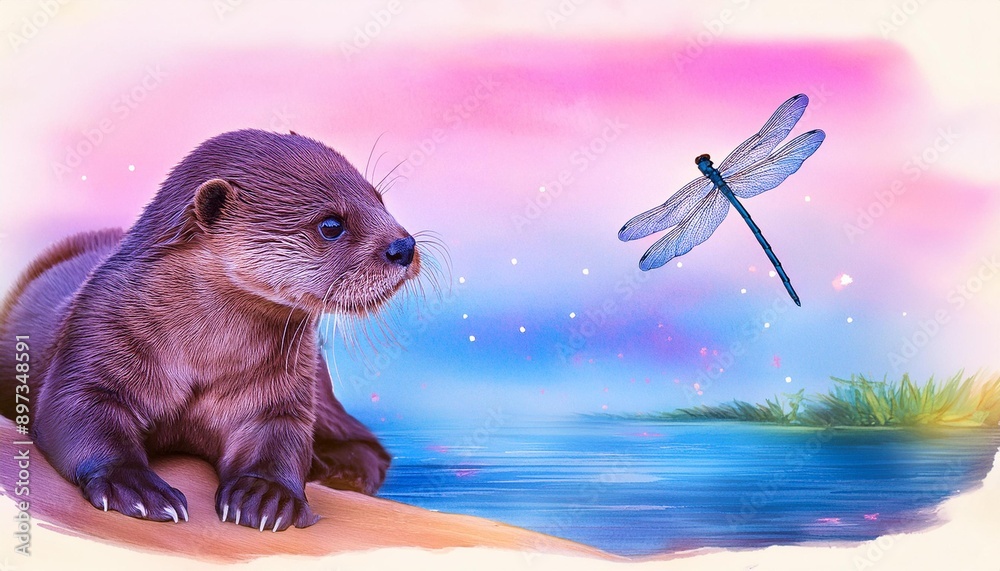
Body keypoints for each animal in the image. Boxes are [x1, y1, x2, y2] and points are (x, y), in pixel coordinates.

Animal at [0, 130, 419, 531]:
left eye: (379, 199)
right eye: (331, 225)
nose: (404, 245)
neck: (206, 356)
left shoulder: (281, 389)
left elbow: (279, 437)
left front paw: (266, 495)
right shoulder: (92, 337)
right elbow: (73, 412)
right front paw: (136, 486)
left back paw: (340, 469)